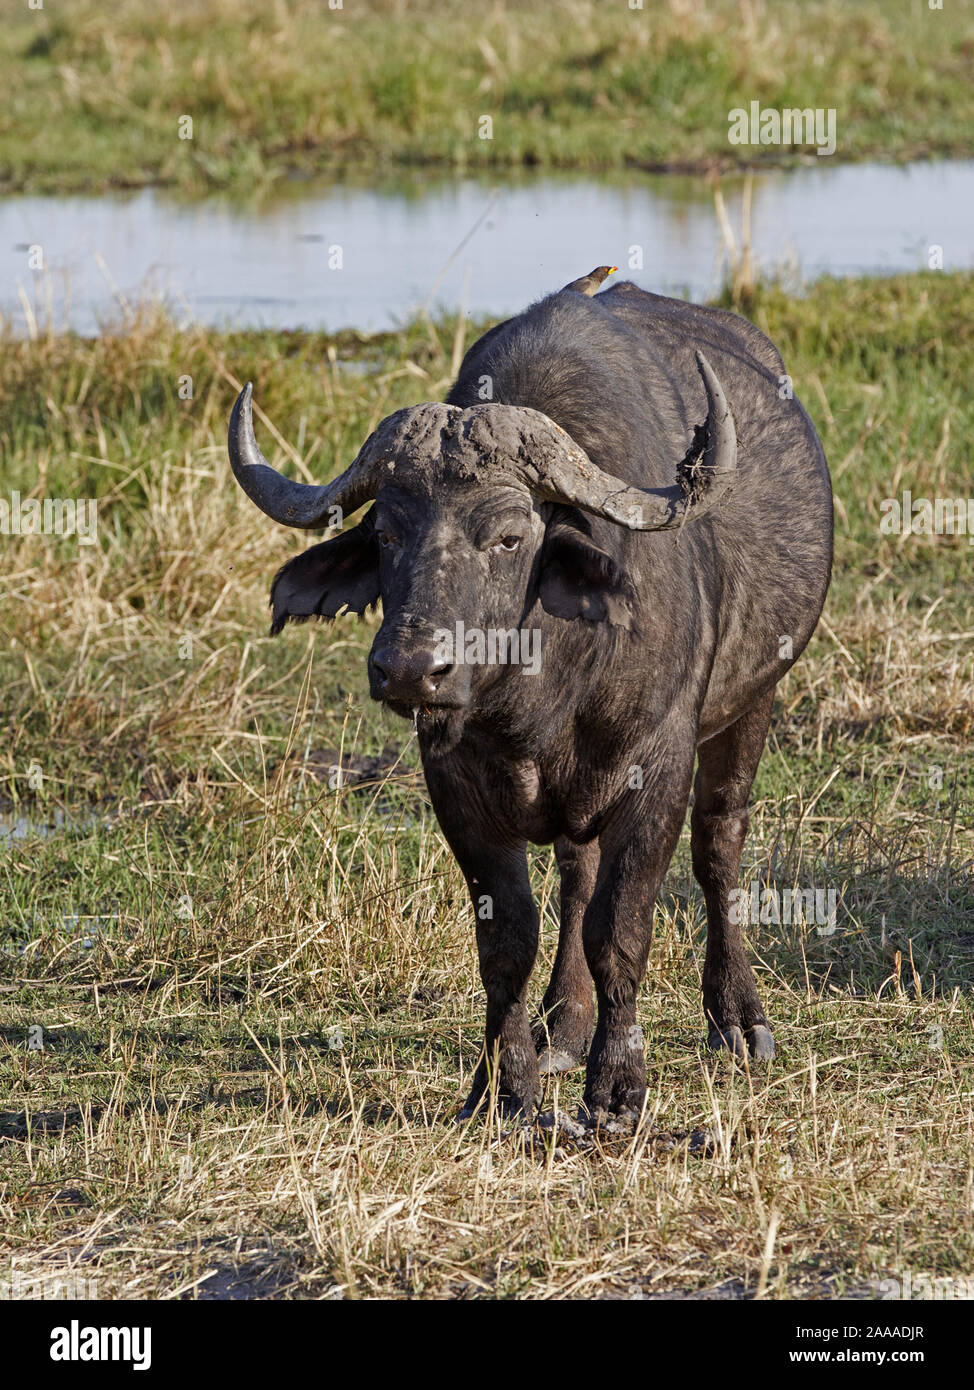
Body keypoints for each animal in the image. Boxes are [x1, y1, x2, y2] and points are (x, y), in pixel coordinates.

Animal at [228, 271, 833, 1125]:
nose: (410, 669)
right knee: (576, 876)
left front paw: (618, 1087)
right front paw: (501, 1087)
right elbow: (509, 939)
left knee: (719, 848)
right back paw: (563, 1027)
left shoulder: (658, 769)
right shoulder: (456, 787)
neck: (538, 702)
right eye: (386, 534)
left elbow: (621, 928)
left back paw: (739, 1019)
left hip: (753, 702)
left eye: (511, 536)